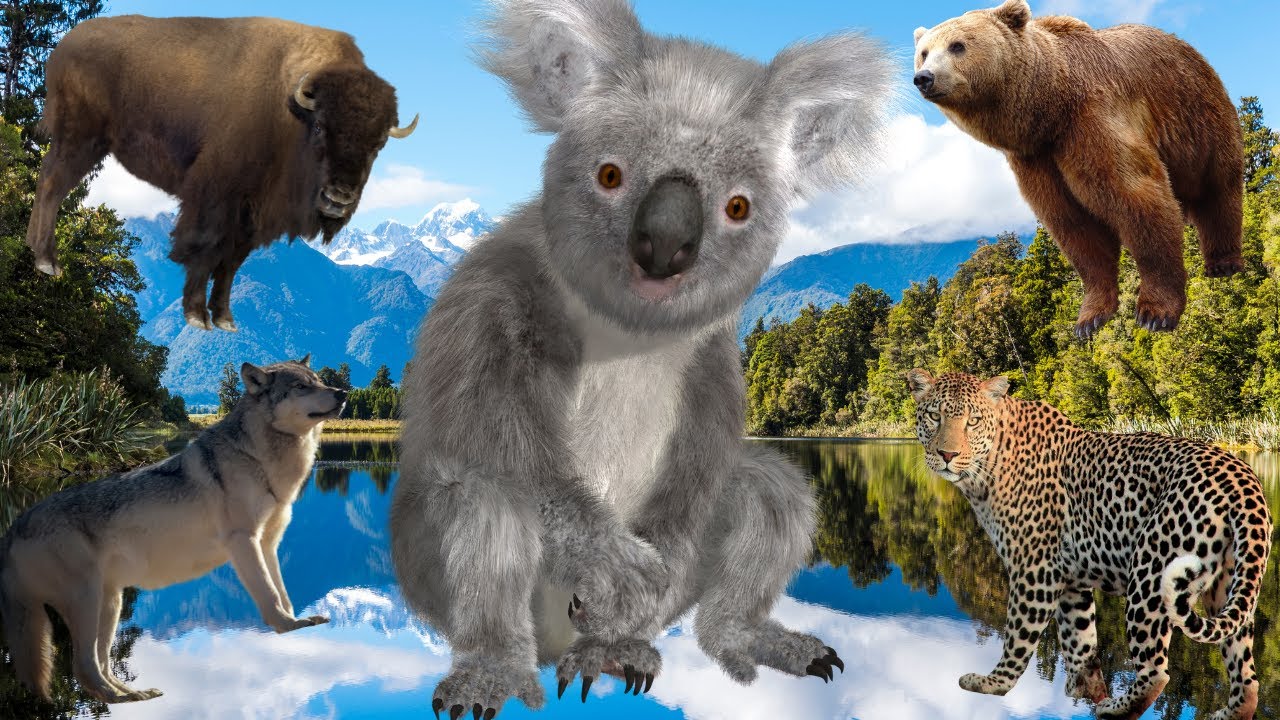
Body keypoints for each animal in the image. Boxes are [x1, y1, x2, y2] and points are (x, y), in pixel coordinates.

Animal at [0, 357, 344, 703]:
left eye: (318, 380)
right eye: (301, 387)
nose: (342, 393)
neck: (259, 458)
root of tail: (15, 526)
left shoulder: (268, 543)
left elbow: (282, 591)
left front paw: (296, 621)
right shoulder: (244, 541)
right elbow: (269, 593)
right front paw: (286, 625)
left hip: (110, 604)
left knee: (102, 664)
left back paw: (135, 694)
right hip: (86, 600)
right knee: (83, 667)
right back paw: (126, 699)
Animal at [389, 1, 895, 716]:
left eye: (737, 206)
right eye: (611, 175)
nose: (663, 249)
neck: (628, 332)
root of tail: (552, 647)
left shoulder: (713, 363)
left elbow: (700, 472)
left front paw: (646, 578)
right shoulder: (492, 303)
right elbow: (506, 444)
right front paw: (615, 567)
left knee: (768, 496)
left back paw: (695, 644)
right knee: (486, 514)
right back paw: (494, 672)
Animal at [906, 369, 1272, 720]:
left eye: (973, 421)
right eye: (935, 416)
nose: (947, 454)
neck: (987, 468)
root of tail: (1244, 481)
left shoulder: (1034, 570)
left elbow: (1018, 636)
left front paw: (994, 683)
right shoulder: (1071, 580)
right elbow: (1079, 639)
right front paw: (1084, 688)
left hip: (1149, 578)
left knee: (1156, 671)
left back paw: (1116, 708)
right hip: (1229, 587)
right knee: (1247, 678)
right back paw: (1227, 711)